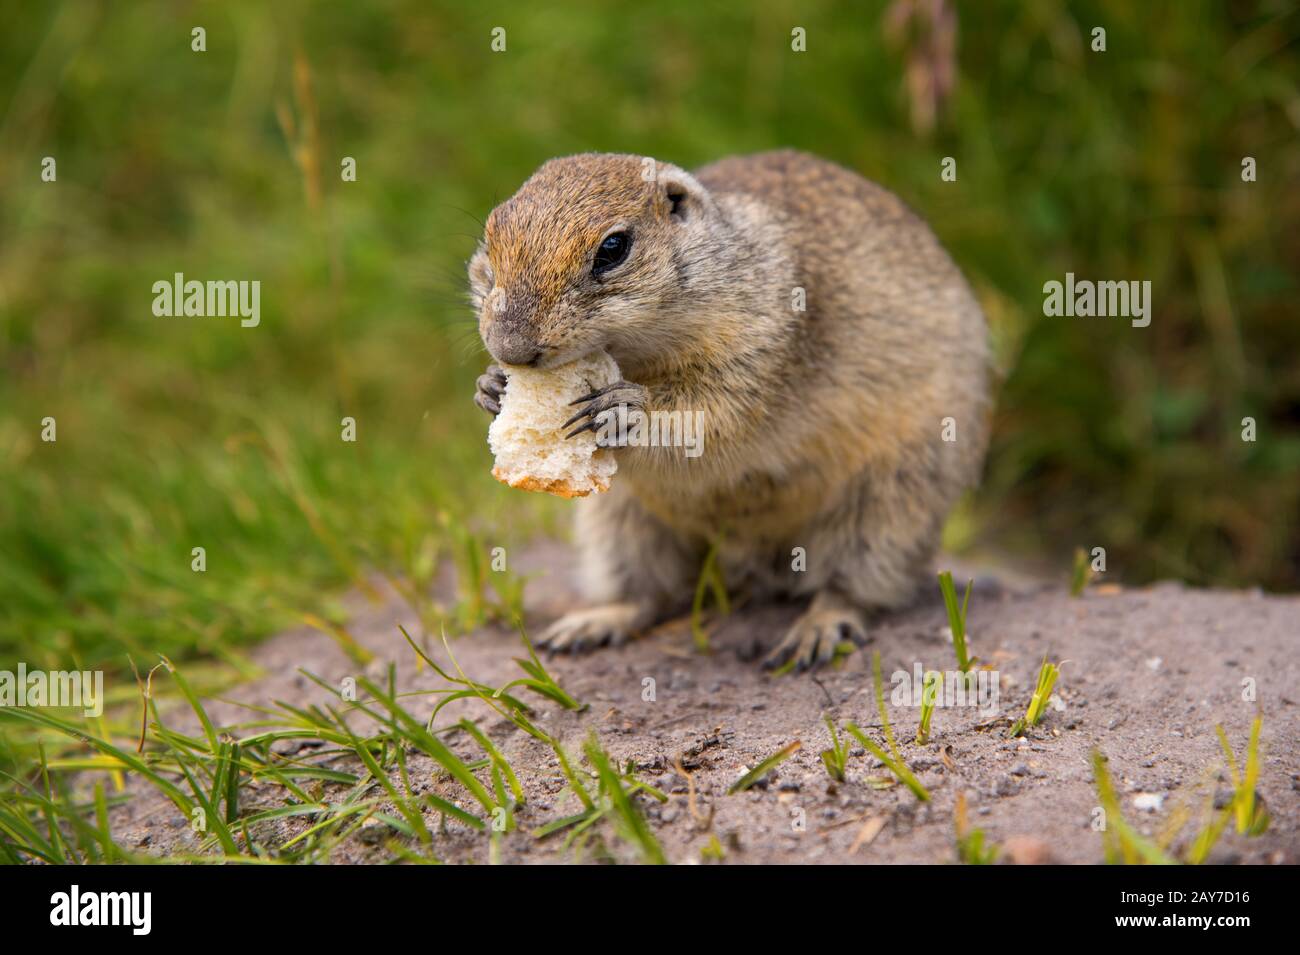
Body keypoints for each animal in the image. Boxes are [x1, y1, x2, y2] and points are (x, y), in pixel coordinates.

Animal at [471, 150, 990, 671]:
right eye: (491, 234)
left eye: (613, 249)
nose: (510, 349)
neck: (639, 357)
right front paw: (491, 387)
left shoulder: (761, 344)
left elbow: (711, 413)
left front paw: (624, 409)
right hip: (618, 525)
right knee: (649, 592)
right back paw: (590, 623)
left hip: (894, 501)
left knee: (853, 584)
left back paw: (817, 631)